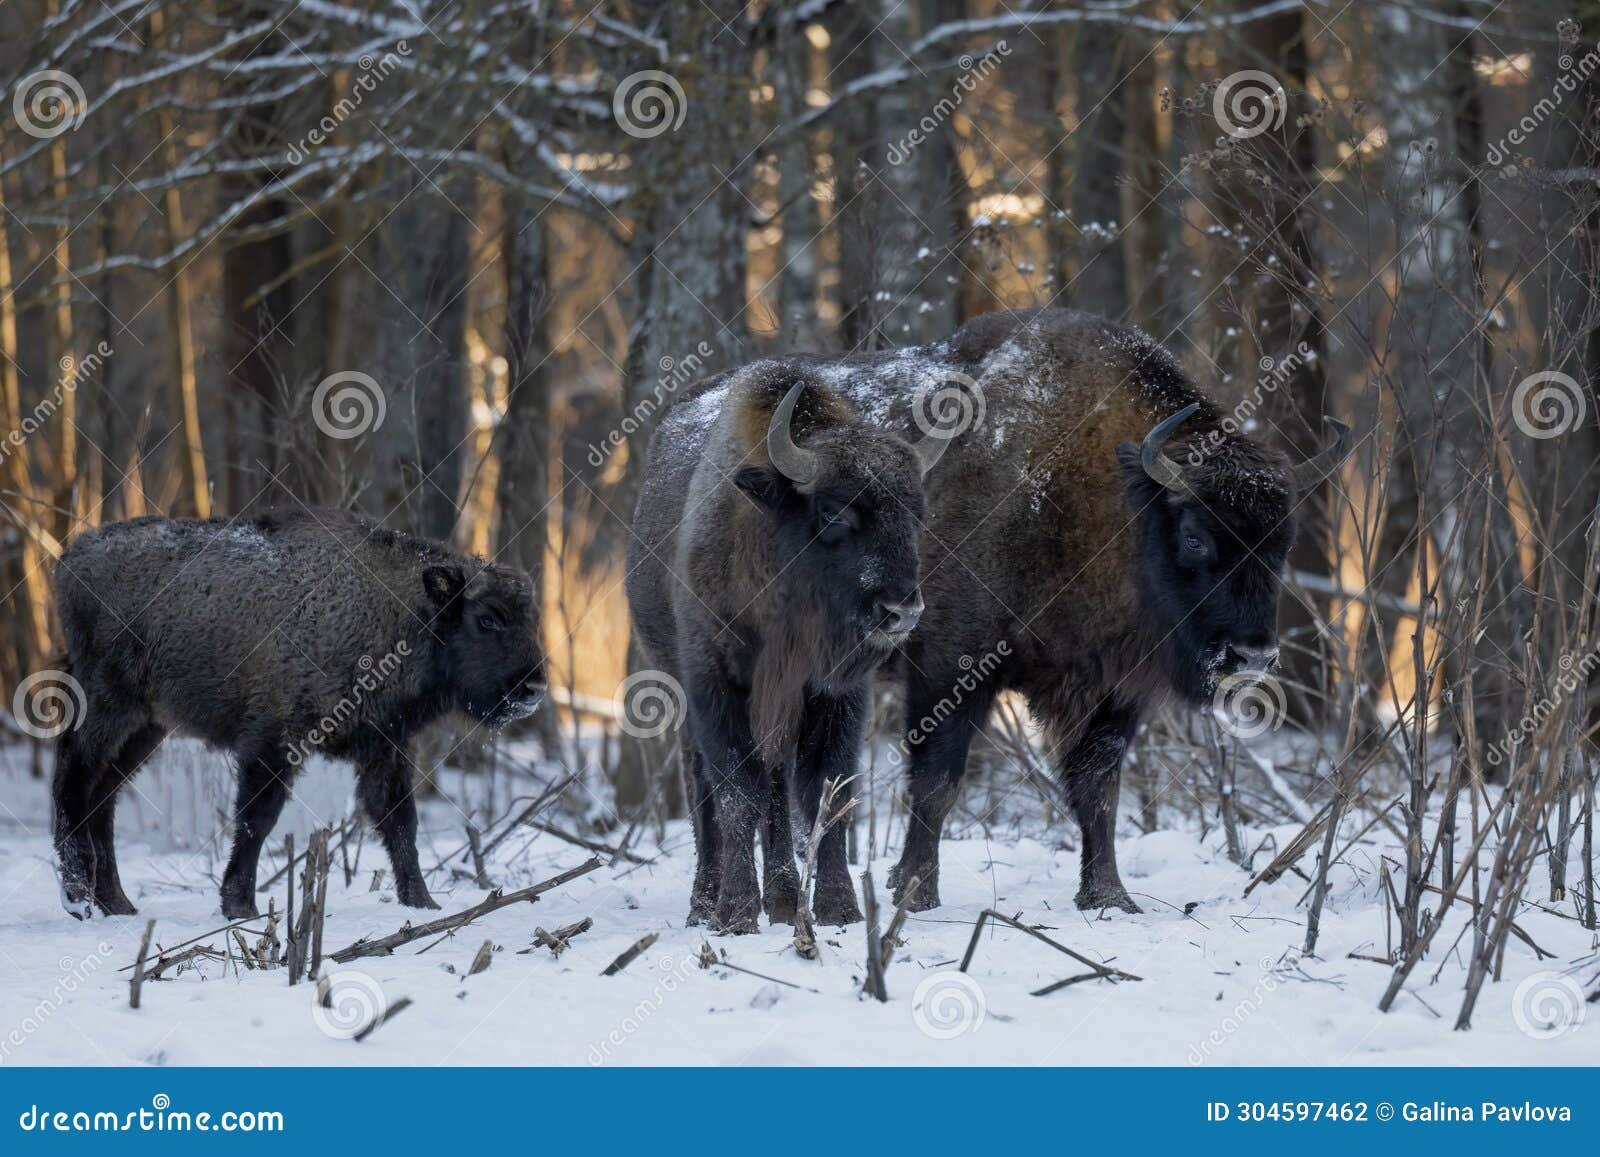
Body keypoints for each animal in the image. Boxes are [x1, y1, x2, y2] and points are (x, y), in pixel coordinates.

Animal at [50, 509, 545, 919]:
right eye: (487, 619)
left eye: (533, 620)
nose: (535, 688)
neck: (399, 613)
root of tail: (69, 558)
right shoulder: (274, 742)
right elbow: (258, 818)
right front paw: (241, 908)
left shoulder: (385, 746)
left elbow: (400, 821)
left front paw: (423, 903)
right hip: (109, 705)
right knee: (73, 779)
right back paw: (78, 900)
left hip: (147, 726)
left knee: (103, 797)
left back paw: (117, 903)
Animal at [627, 360, 940, 932]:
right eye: (835, 513)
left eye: (916, 515)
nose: (901, 610)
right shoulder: (715, 685)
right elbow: (735, 794)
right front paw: (735, 913)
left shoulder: (832, 693)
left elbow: (827, 790)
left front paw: (839, 908)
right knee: (704, 790)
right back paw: (704, 904)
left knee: (776, 787)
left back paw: (782, 895)